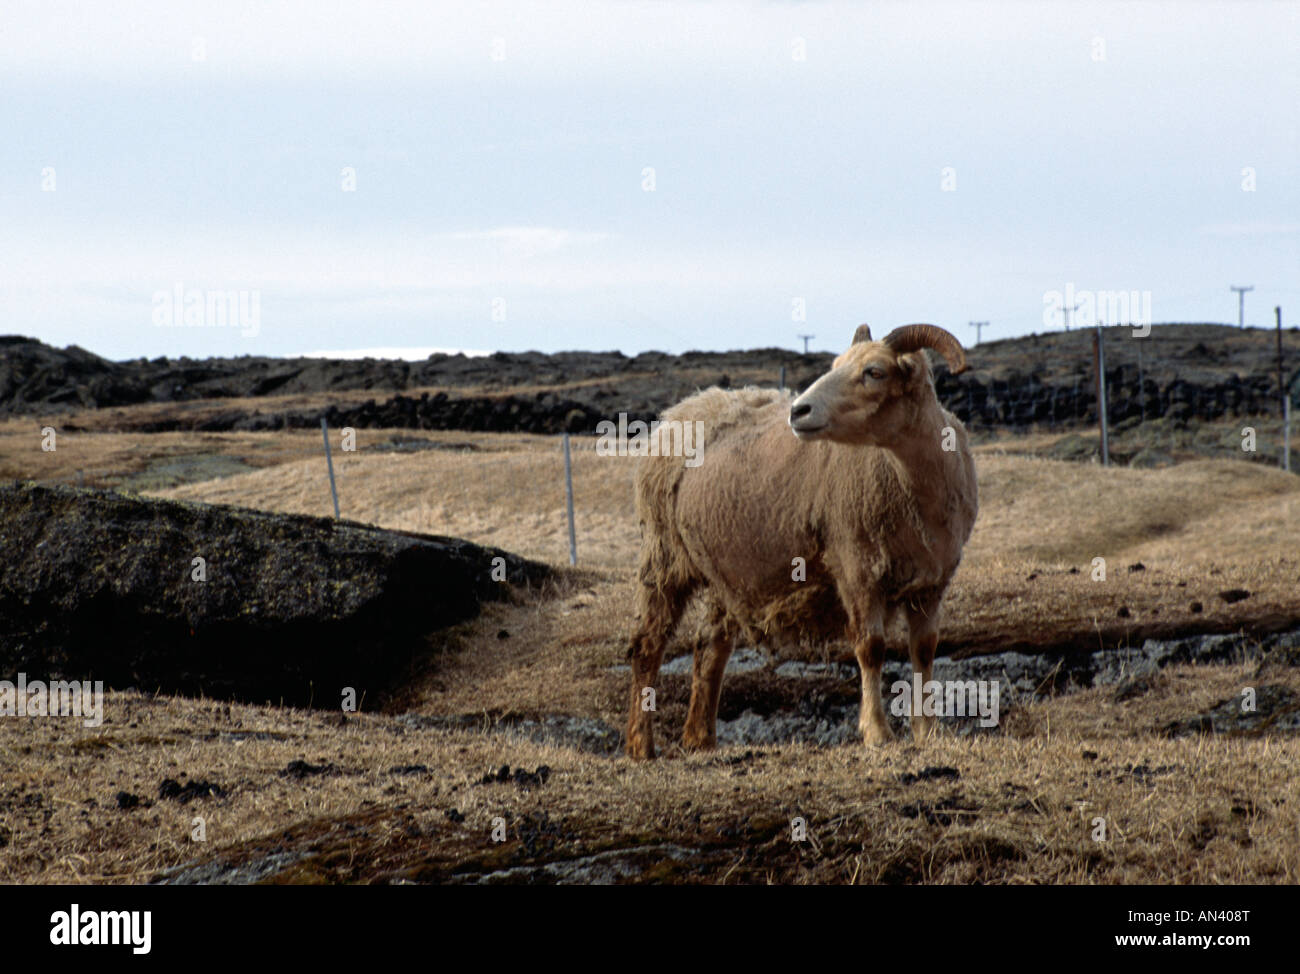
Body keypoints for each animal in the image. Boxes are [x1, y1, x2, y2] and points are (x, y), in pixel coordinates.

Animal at [624, 323, 977, 759]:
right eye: (836, 364)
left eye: (874, 372)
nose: (798, 411)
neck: (911, 483)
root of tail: (685, 406)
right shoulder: (856, 567)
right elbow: (871, 647)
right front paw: (877, 732)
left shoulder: (933, 581)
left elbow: (924, 650)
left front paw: (927, 731)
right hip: (664, 555)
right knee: (648, 645)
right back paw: (641, 744)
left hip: (725, 570)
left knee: (710, 648)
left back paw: (700, 739)